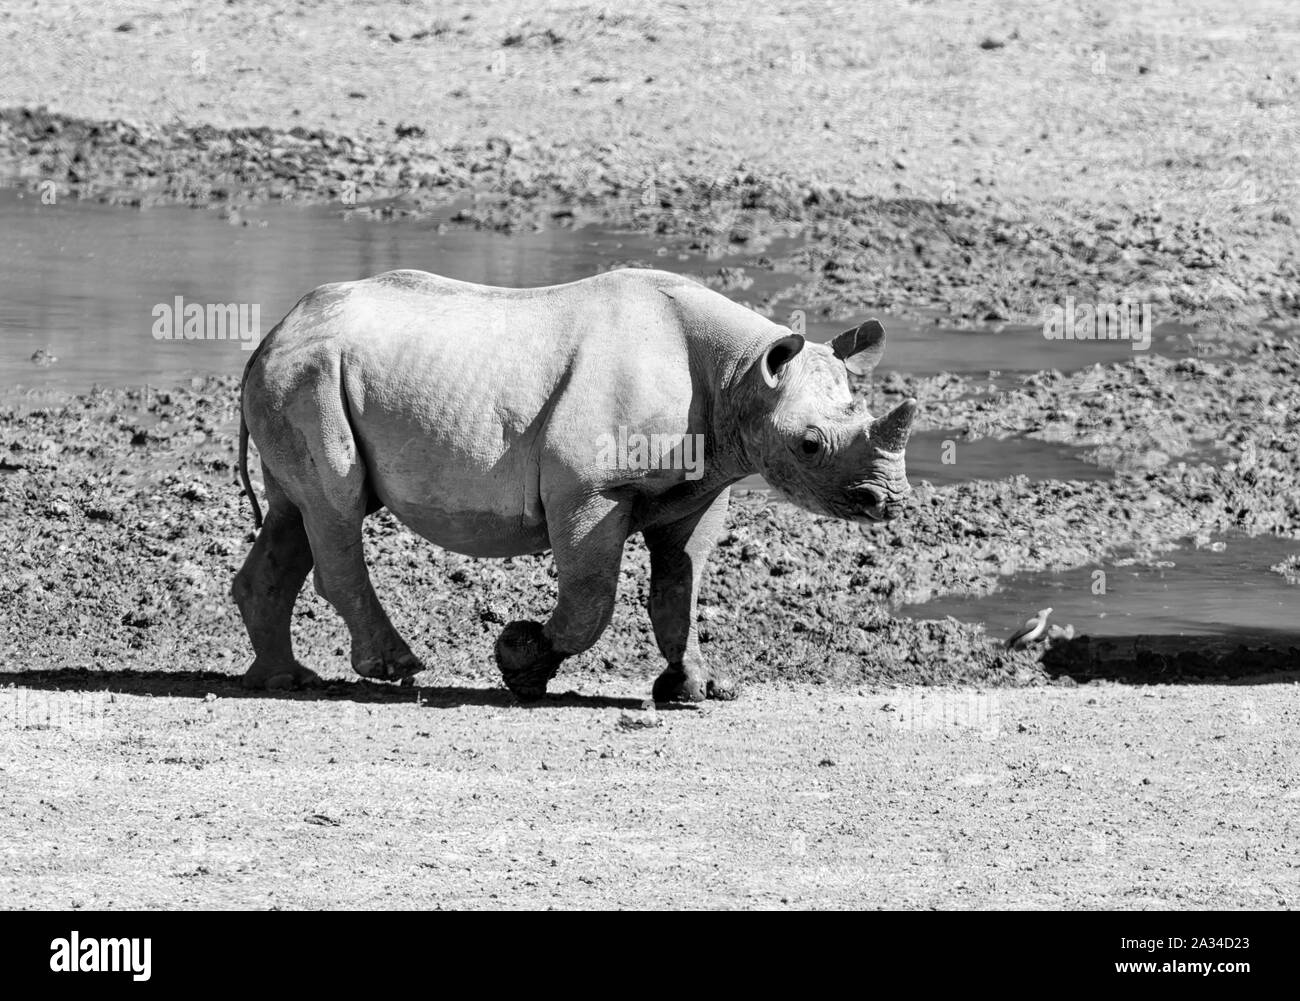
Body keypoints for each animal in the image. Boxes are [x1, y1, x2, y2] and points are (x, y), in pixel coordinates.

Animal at [233, 268, 917, 701]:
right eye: (810, 445)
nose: (887, 501)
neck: (743, 372)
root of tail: (273, 332)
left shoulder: (700, 488)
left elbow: (681, 587)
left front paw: (695, 690)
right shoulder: (590, 487)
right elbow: (592, 598)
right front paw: (519, 661)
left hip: (308, 372)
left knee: (297, 510)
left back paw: (284, 681)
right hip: (310, 375)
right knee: (337, 505)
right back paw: (396, 669)